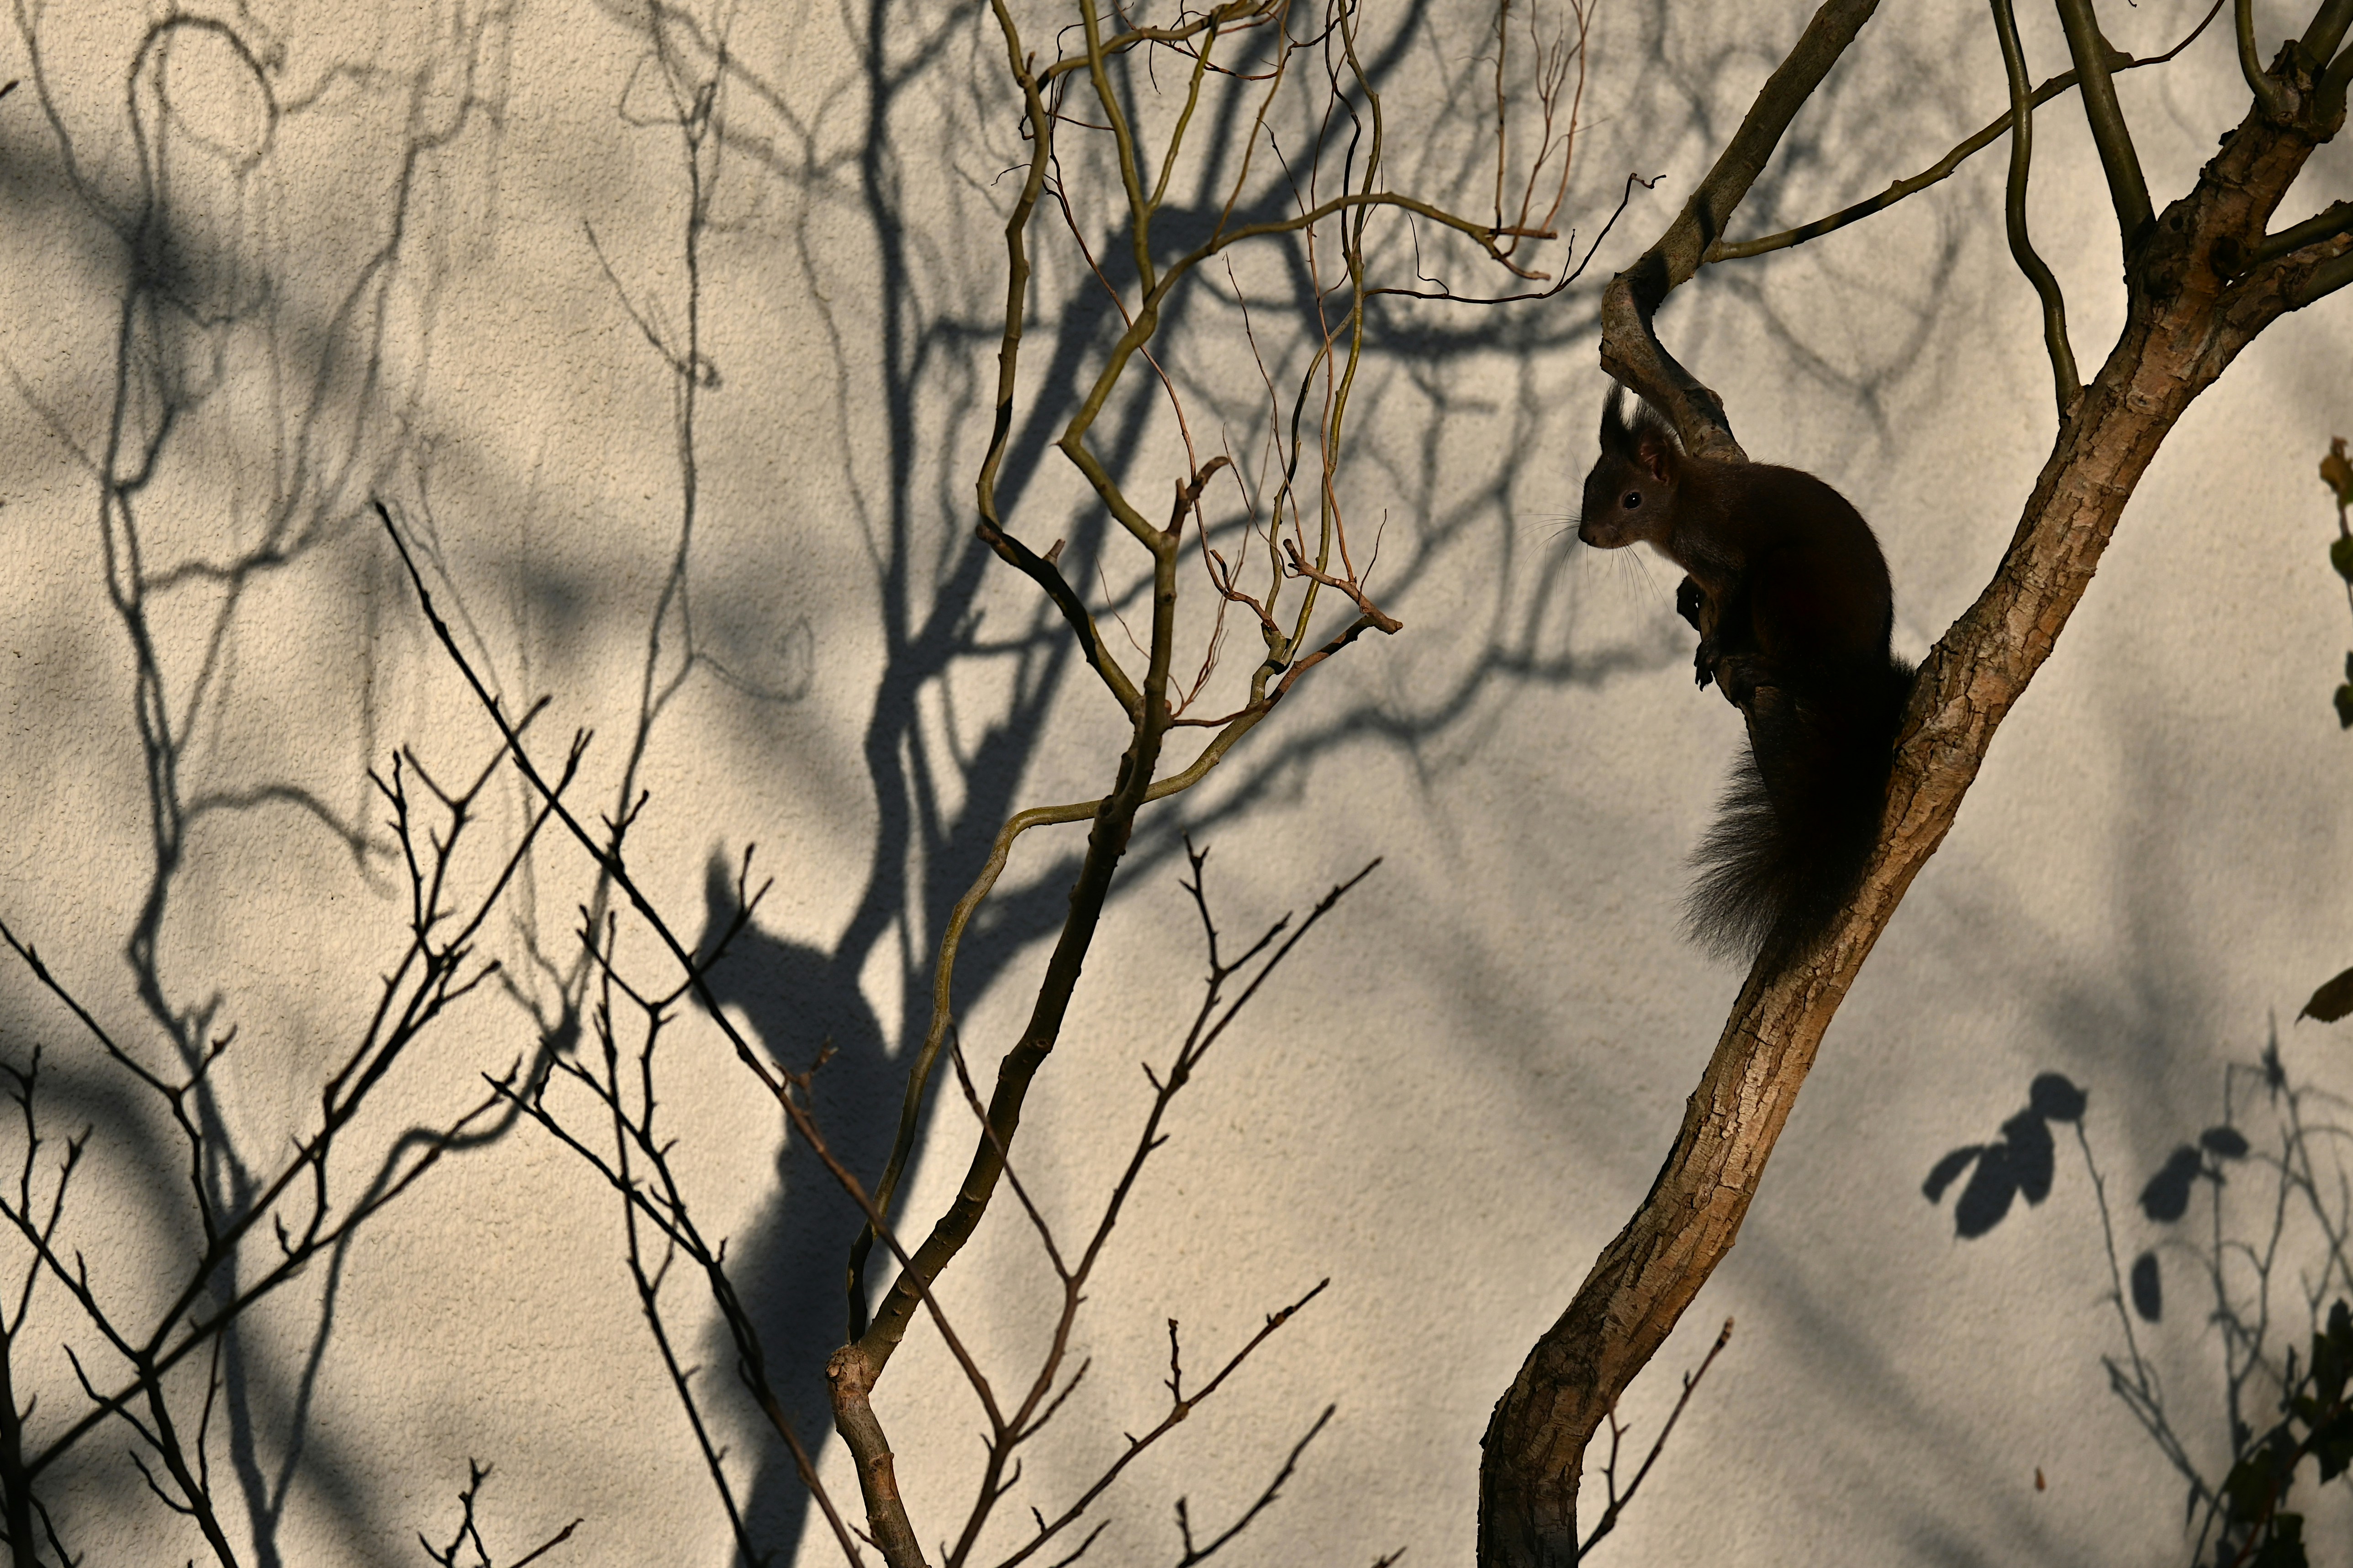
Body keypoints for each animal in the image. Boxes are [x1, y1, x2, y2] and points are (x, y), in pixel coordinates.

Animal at [1577, 382, 1914, 965]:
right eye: (1587, 483)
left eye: (1632, 499)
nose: (1585, 535)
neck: (1683, 507)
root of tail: (1863, 671)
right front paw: (1687, 593)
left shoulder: (1730, 563)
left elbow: (1730, 604)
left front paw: (1712, 647)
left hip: (1787, 584)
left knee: (1805, 670)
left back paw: (1759, 663)